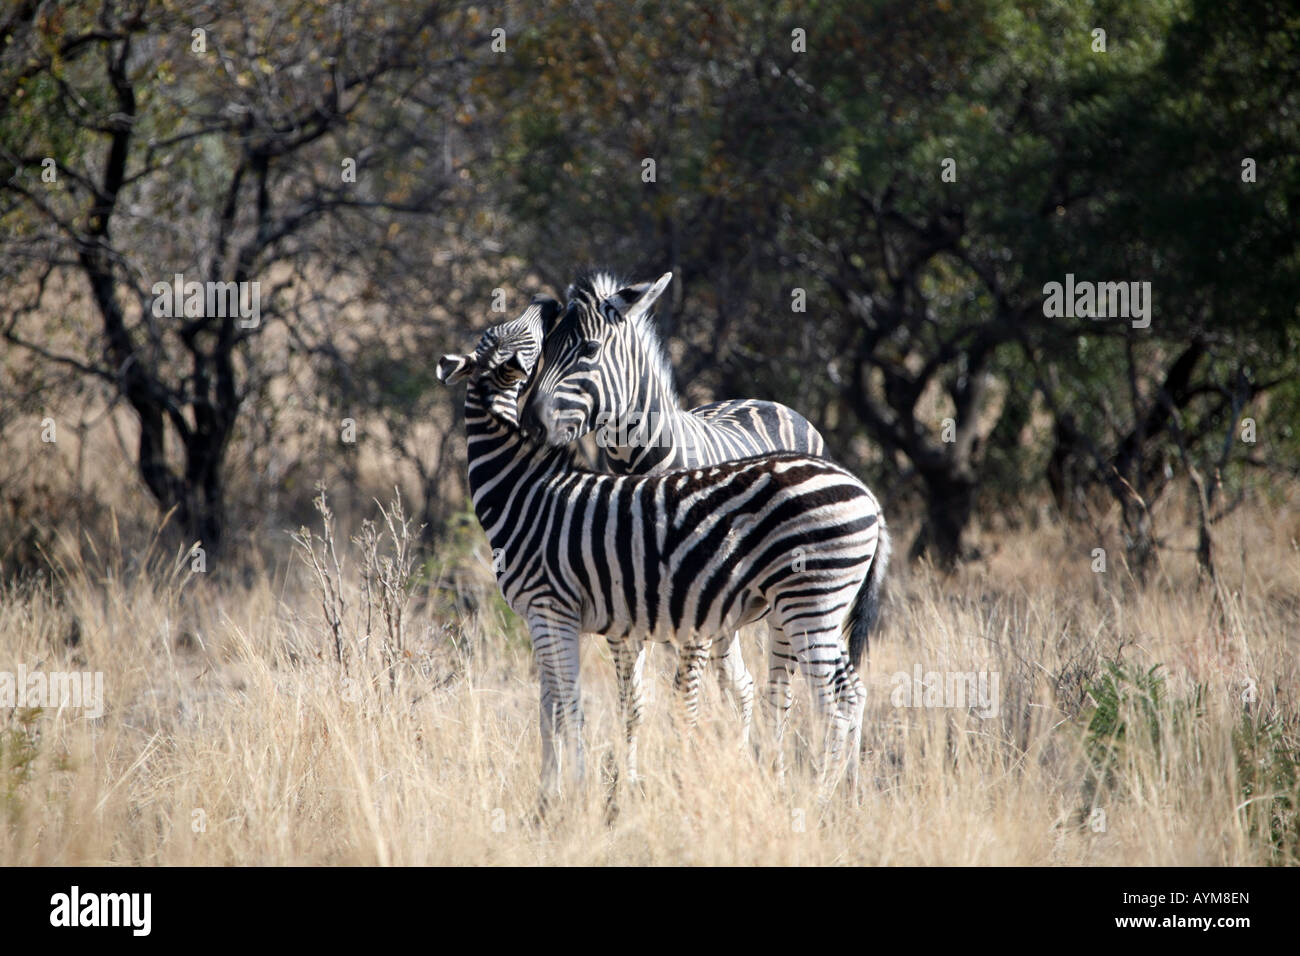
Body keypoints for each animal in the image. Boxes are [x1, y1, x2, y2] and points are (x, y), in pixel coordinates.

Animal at [437, 307, 888, 801]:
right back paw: (847, 790)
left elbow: (566, 706)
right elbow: (553, 707)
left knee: (831, 700)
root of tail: (866, 493)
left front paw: (571, 792)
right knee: (851, 691)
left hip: (807, 602)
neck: (520, 489)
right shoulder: (561, 618)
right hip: (821, 605)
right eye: (528, 335)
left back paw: (819, 796)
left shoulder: (550, 609)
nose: (545, 304)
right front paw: (553, 792)